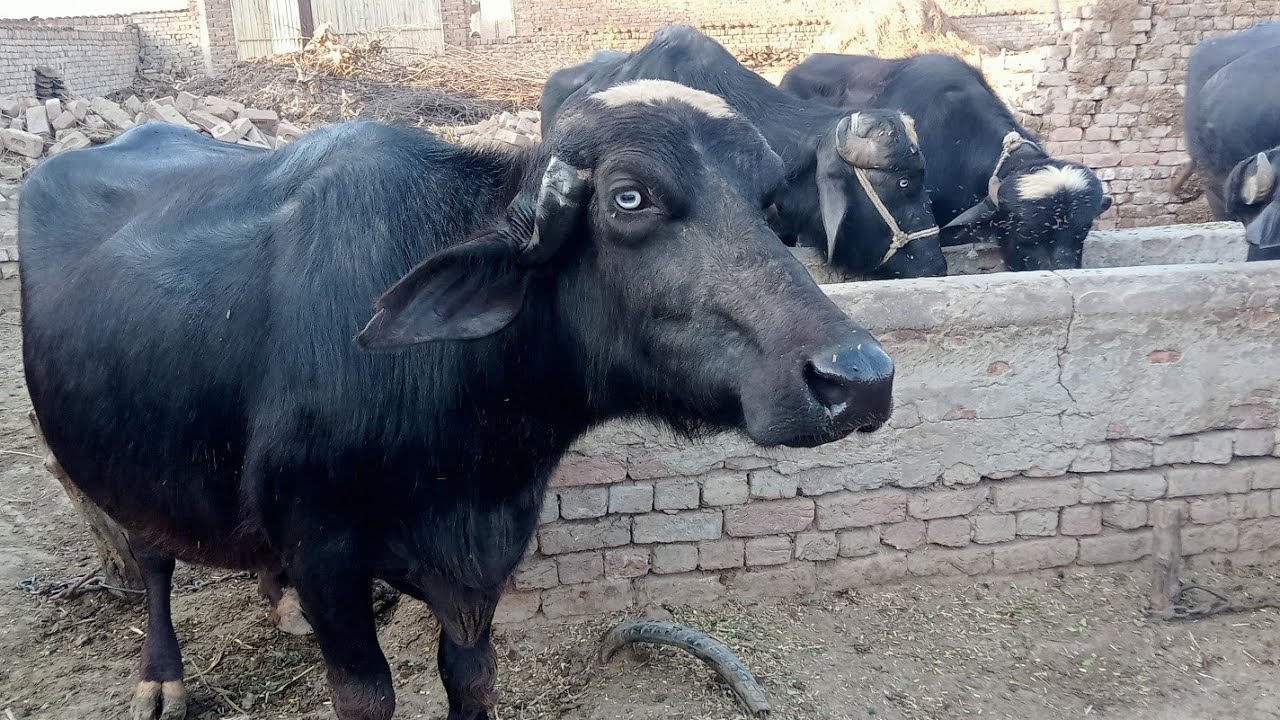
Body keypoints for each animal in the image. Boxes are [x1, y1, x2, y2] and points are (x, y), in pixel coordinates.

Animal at [20, 81, 894, 720]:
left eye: (769, 202)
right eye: (630, 198)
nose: (858, 378)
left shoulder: (482, 562)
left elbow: (471, 677)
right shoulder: (324, 550)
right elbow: (367, 694)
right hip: (119, 460)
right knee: (151, 556)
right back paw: (160, 677)